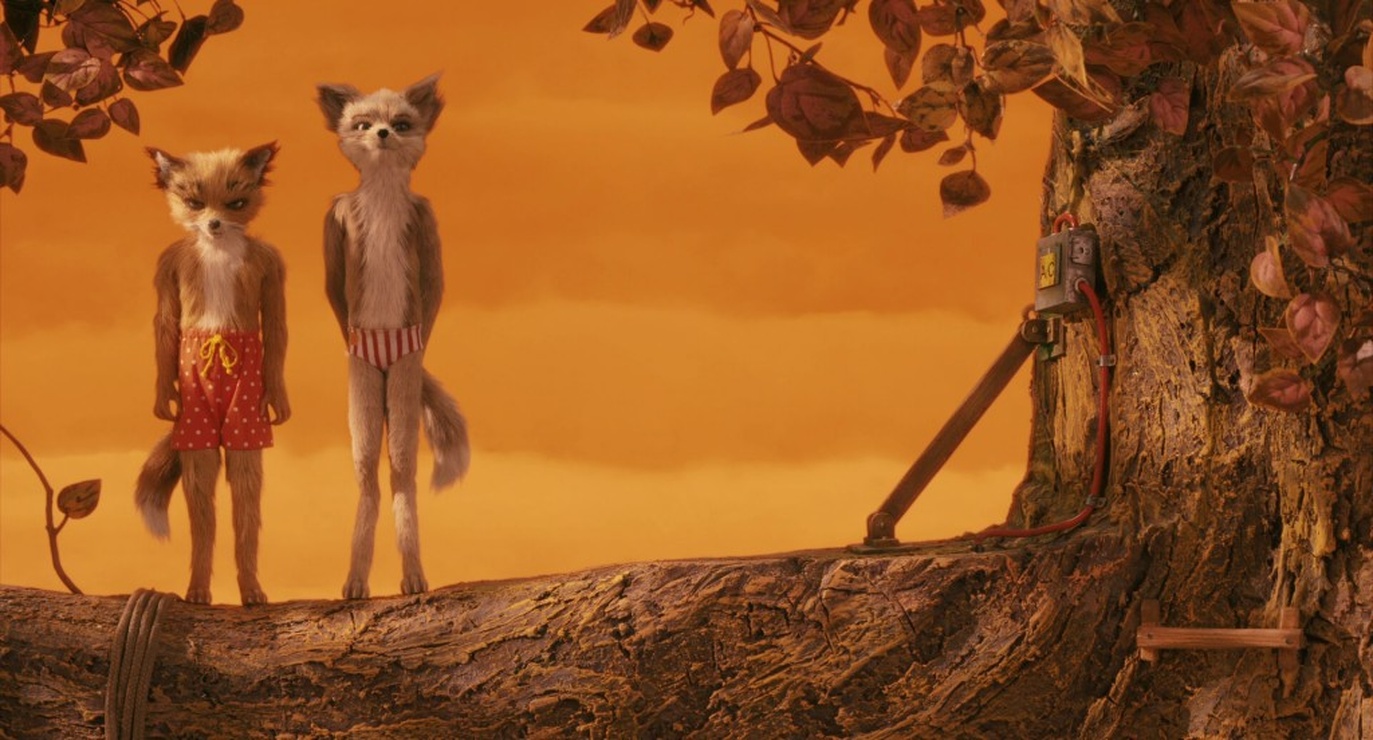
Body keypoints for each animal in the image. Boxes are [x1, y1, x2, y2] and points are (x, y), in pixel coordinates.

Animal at [133, 143, 290, 606]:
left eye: (236, 202)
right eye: (194, 202)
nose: (215, 223)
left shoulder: (272, 272)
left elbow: (276, 328)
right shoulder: (168, 270)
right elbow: (165, 325)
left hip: (241, 431)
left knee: (244, 508)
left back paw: (250, 590)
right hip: (198, 431)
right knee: (203, 516)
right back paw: (198, 589)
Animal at [316, 73, 470, 599]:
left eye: (400, 124)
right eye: (363, 124)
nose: (382, 134)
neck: (382, 199)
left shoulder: (424, 220)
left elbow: (436, 285)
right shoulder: (336, 220)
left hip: (402, 375)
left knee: (402, 473)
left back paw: (414, 576)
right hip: (364, 379)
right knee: (369, 479)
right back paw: (356, 579)